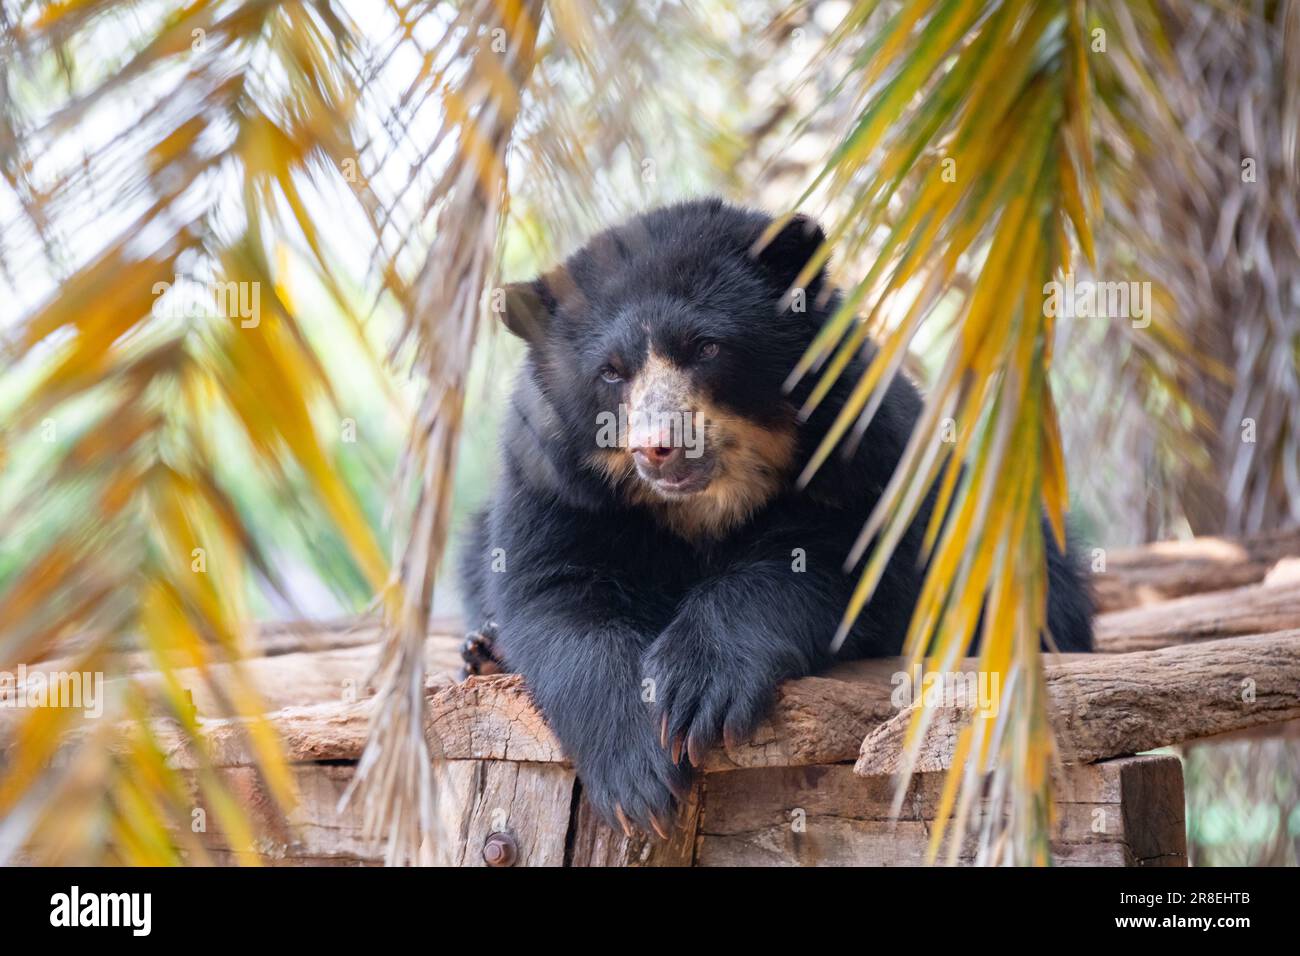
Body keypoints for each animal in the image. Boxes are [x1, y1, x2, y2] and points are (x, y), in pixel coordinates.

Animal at [459, 197, 1093, 837]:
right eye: (611, 371)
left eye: (706, 347)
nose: (658, 447)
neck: (703, 501)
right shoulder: (557, 483)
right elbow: (558, 588)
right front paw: (639, 772)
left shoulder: (859, 446)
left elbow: (829, 562)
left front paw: (696, 692)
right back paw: (483, 650)